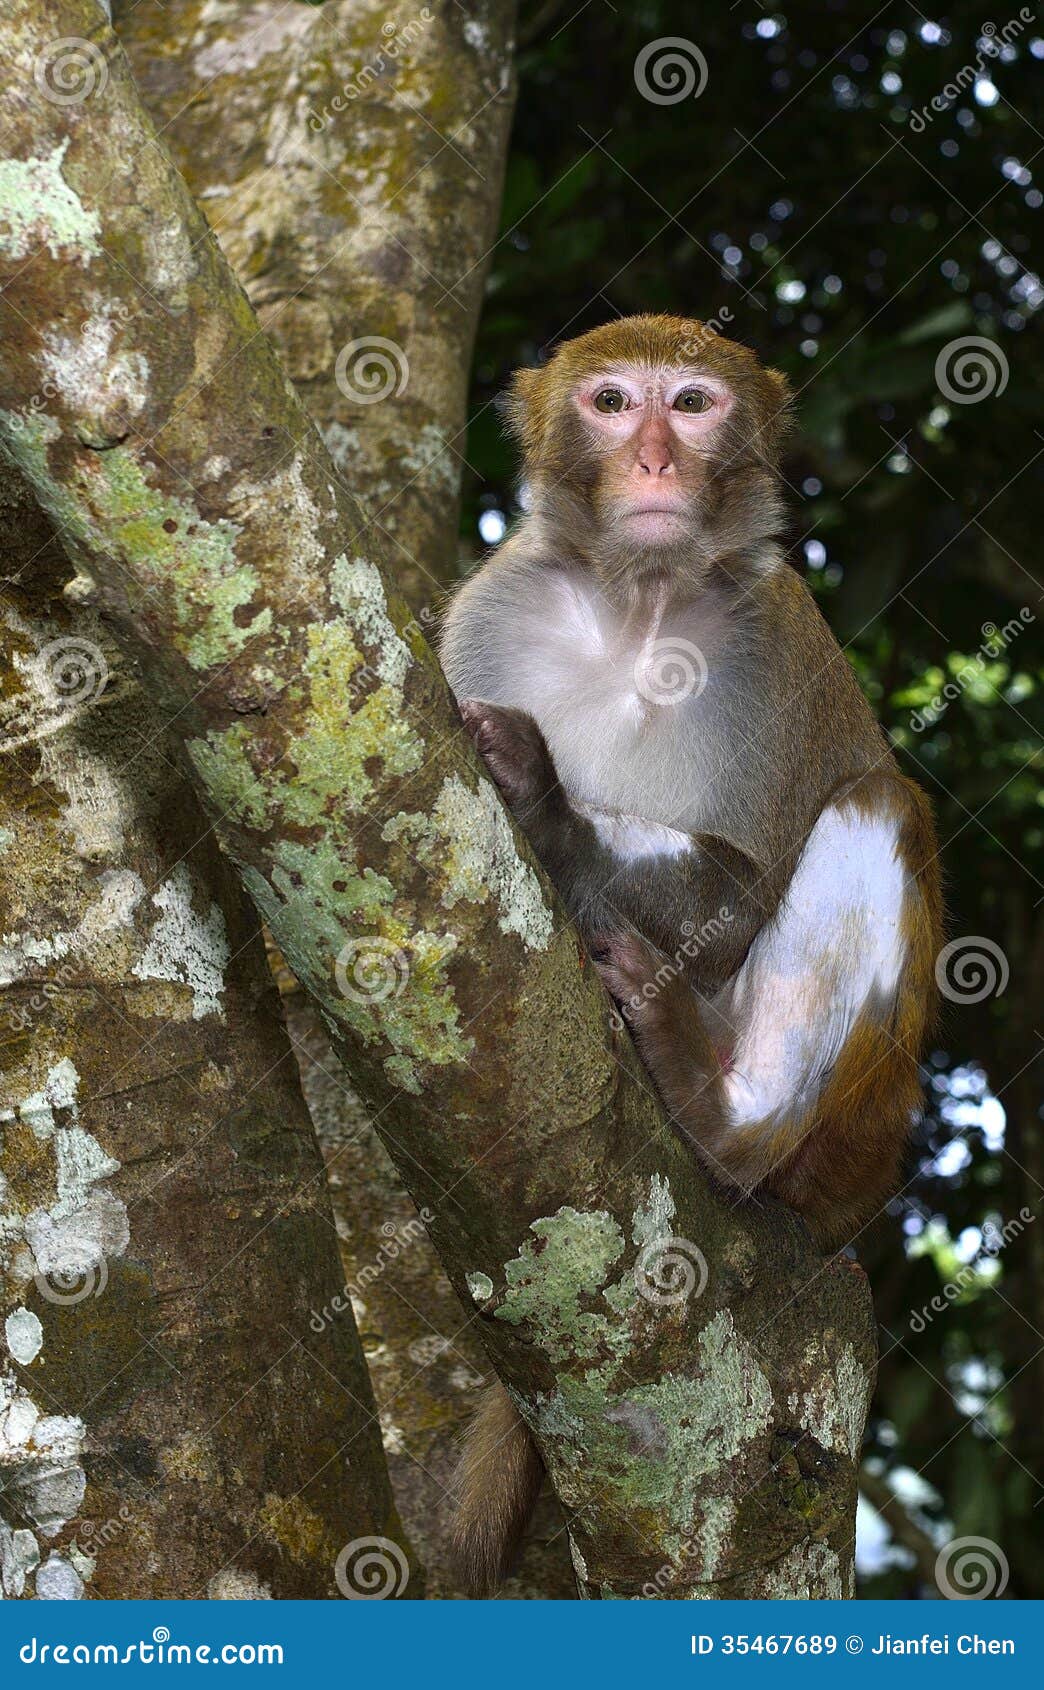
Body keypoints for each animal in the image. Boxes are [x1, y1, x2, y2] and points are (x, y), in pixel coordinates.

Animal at [437, 314, 942, 1596]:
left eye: (696, 403)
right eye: (615, 403)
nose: (657, 458)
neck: (639, 609)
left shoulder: (775, 643)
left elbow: (746, 898)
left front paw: (549, 807)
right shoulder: (485, 613)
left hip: (858, 1133)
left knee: (879, 802)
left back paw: (724, 1119)